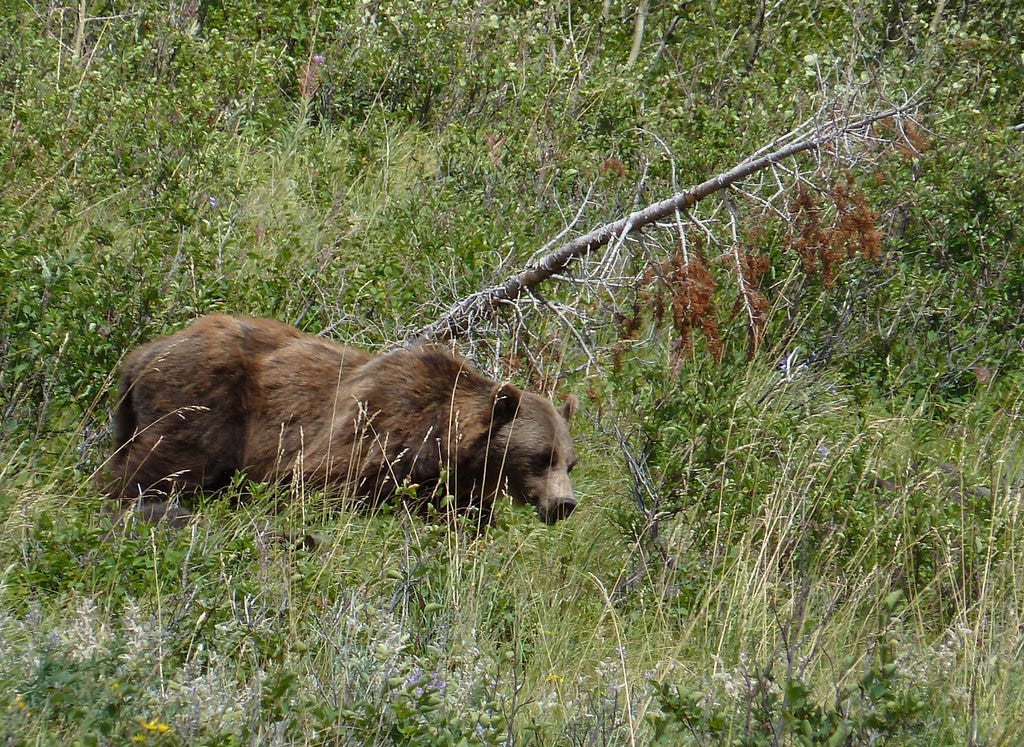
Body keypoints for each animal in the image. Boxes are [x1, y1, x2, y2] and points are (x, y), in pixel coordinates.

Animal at [105, 314, 577, 526]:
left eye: (569, 463)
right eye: (540, 457)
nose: (565, 504)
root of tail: (140, 355)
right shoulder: (374, 428)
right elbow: (319, 480)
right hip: (203, 399)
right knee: (166, 461)